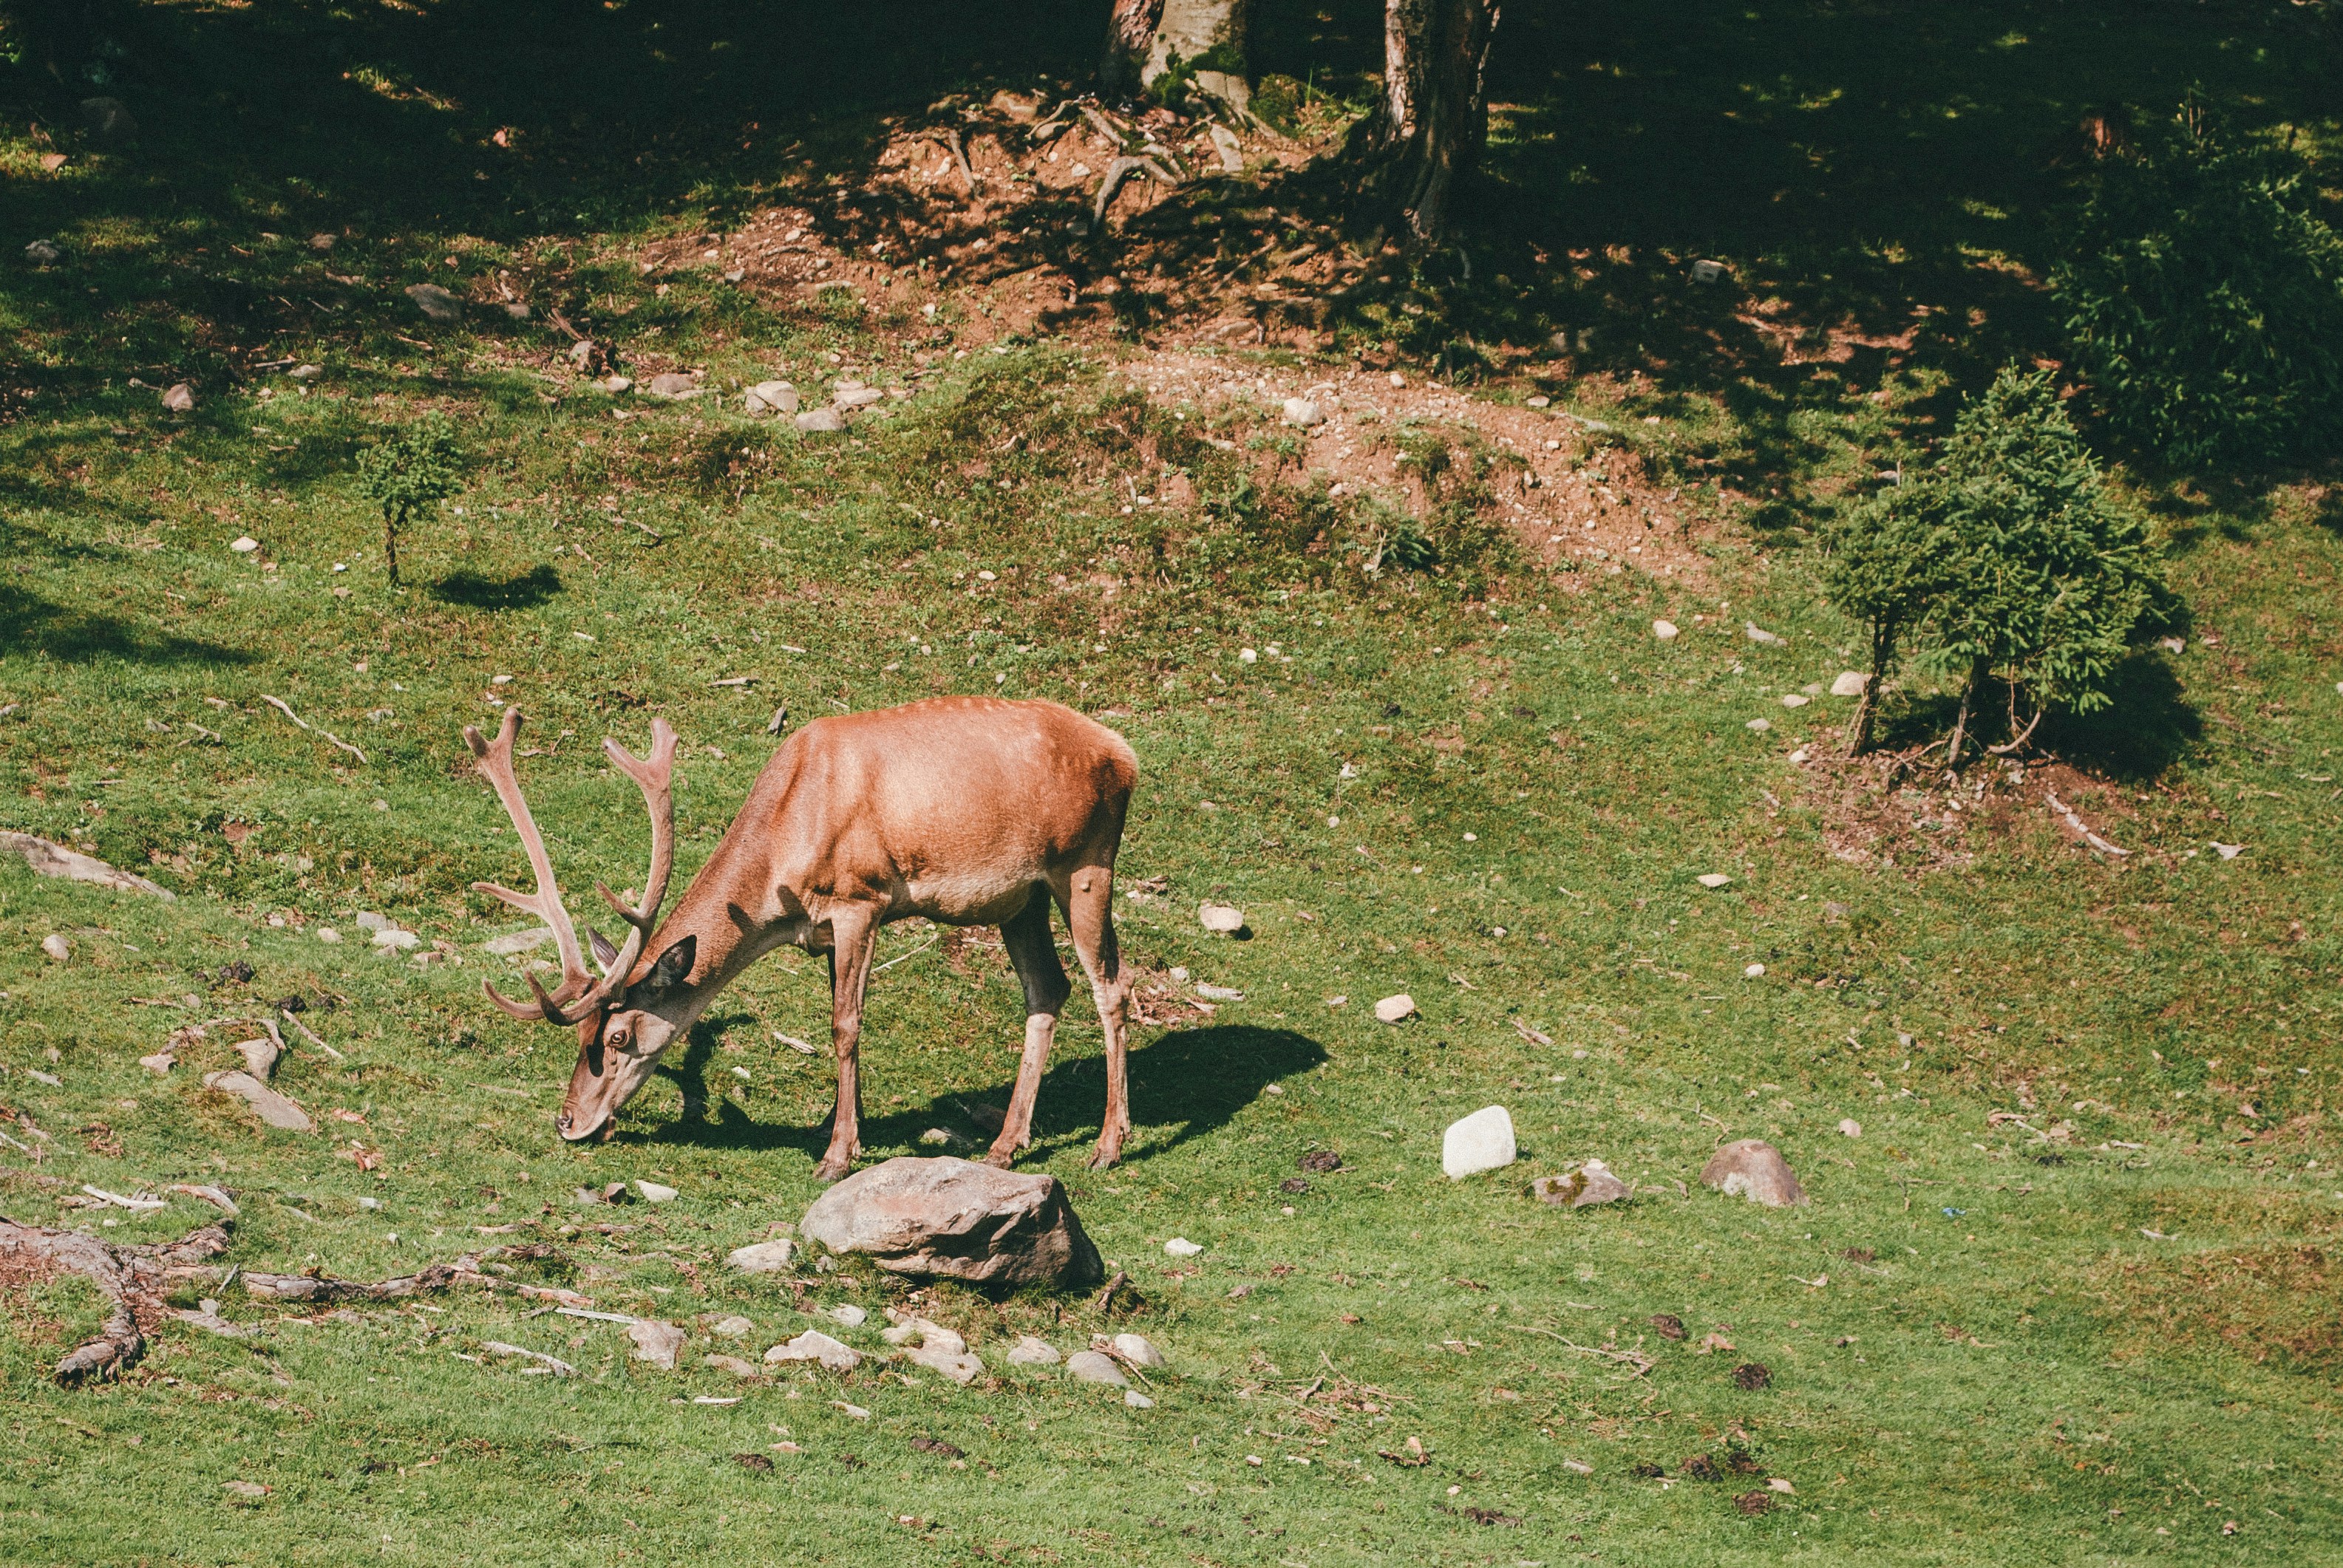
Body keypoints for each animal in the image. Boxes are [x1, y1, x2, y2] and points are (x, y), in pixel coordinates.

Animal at [462, 695, 1139, 1182]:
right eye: (582, 1037)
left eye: (619, 1036)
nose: (567, 1121)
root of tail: (1126, 755)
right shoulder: (822, 929)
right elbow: (834, 1018)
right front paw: (835, 1125)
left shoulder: (860, 899)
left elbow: (845, 1024)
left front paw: (837, 1156)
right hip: (1020, 899)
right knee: (1047, 991)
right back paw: (1005, 1144)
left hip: (1086, 863)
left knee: (1113, 985)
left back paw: (1109, 1146)